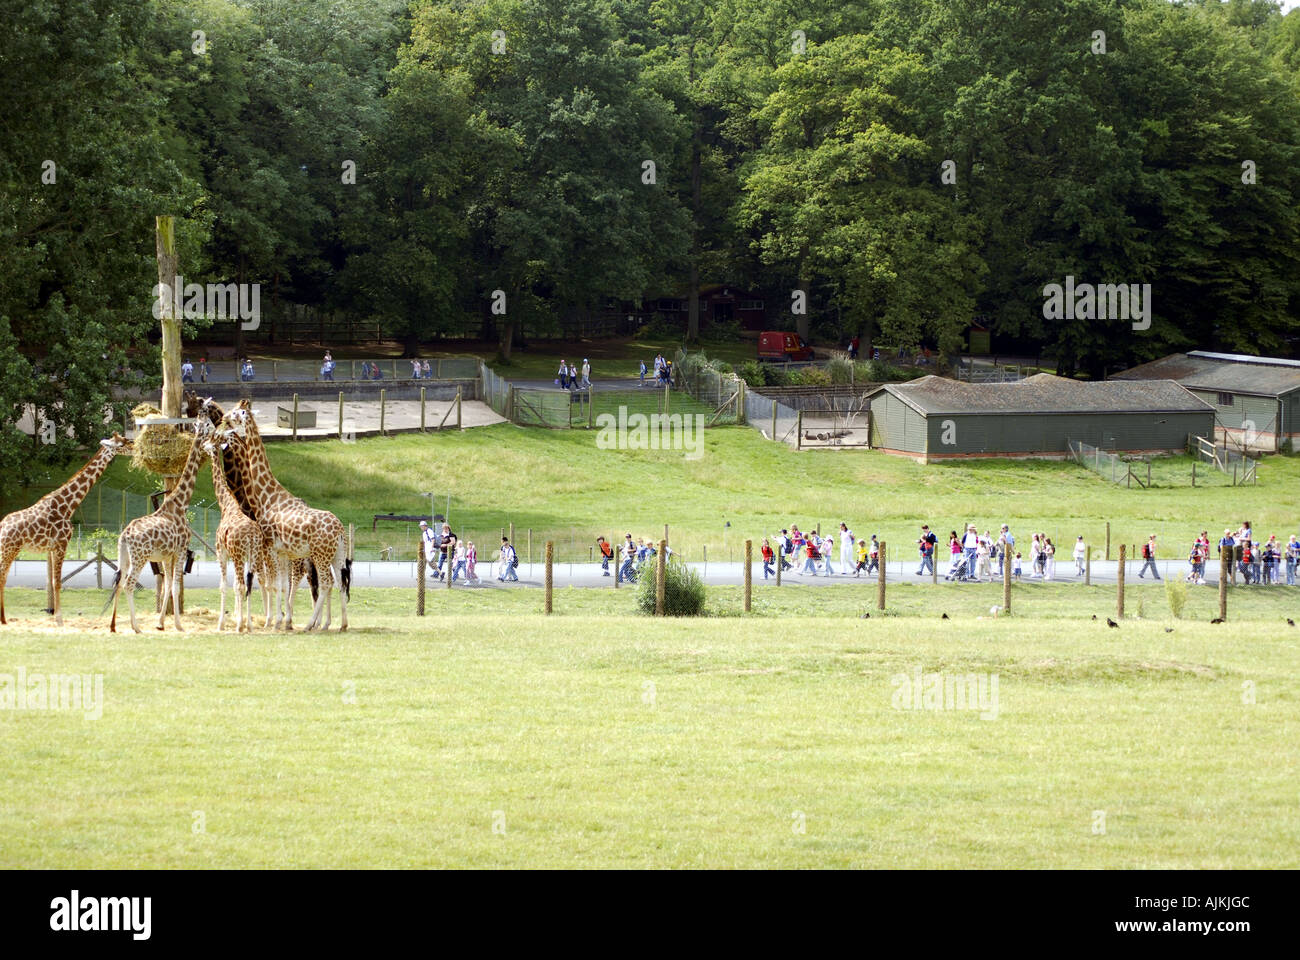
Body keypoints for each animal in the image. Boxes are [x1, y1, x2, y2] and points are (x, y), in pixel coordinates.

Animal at [0, 433, 133, 626]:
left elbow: (52, 581)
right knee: (2, 577)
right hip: (10, 548)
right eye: (122, 443)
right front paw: (59, 620)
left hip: (8, 549)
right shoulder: (62, 544)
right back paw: (3, 619)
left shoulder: (52, 547)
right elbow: (57, 582)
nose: (134, 445)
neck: (68, 506)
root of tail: (2, 526)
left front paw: (55, 616)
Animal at [109, 422, 211, 633]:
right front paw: (179, 625)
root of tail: (125, 536)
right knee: (129, 584)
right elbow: (175, 586)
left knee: (119, 582)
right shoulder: (181, 550)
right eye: (207, 425)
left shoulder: (166, 555)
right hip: (140, 557)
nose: (213, 433)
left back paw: (113, 626)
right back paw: (136, 627)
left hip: (124, 556)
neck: (180, 503)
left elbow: (168, 585)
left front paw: (161, 623)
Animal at [217, 400, 349, 631]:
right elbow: (282, 585)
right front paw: (284, 621)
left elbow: (275, 584)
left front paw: (276, 621)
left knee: (325, 583)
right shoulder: (283, 552)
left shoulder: (270, 547)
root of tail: (340, 530)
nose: (223, 417)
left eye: (235, 413)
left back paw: (311, 624)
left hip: (319, 554)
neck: (267, 496)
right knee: (339, 582)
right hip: (336, 554)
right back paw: (339, 624)